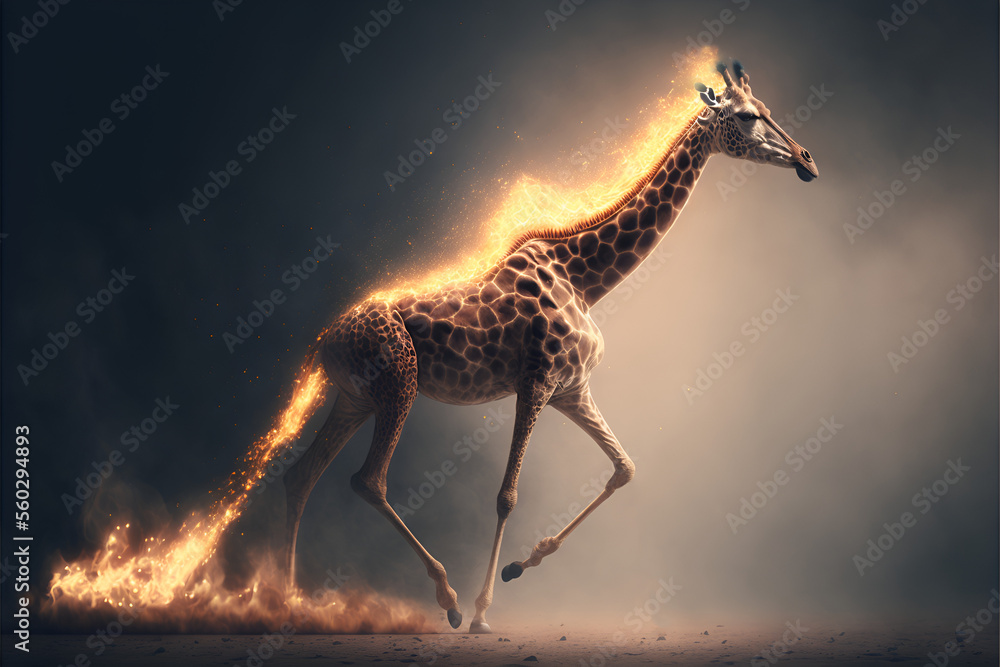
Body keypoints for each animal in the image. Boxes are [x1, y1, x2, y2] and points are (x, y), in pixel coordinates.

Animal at [281, 61, 818, 633]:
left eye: (767, 109)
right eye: (747, 115)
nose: (807, 160)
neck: (586, 279)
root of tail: (323, 341)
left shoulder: (572, 389)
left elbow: (625, 468)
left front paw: (520, 565)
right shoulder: (536, 382)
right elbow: (506, 496)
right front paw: (482, 612)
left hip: (355, 397)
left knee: (301, 476)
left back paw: (286, 601)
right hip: (397, 384)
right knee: (367, 480)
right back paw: (446, 599)